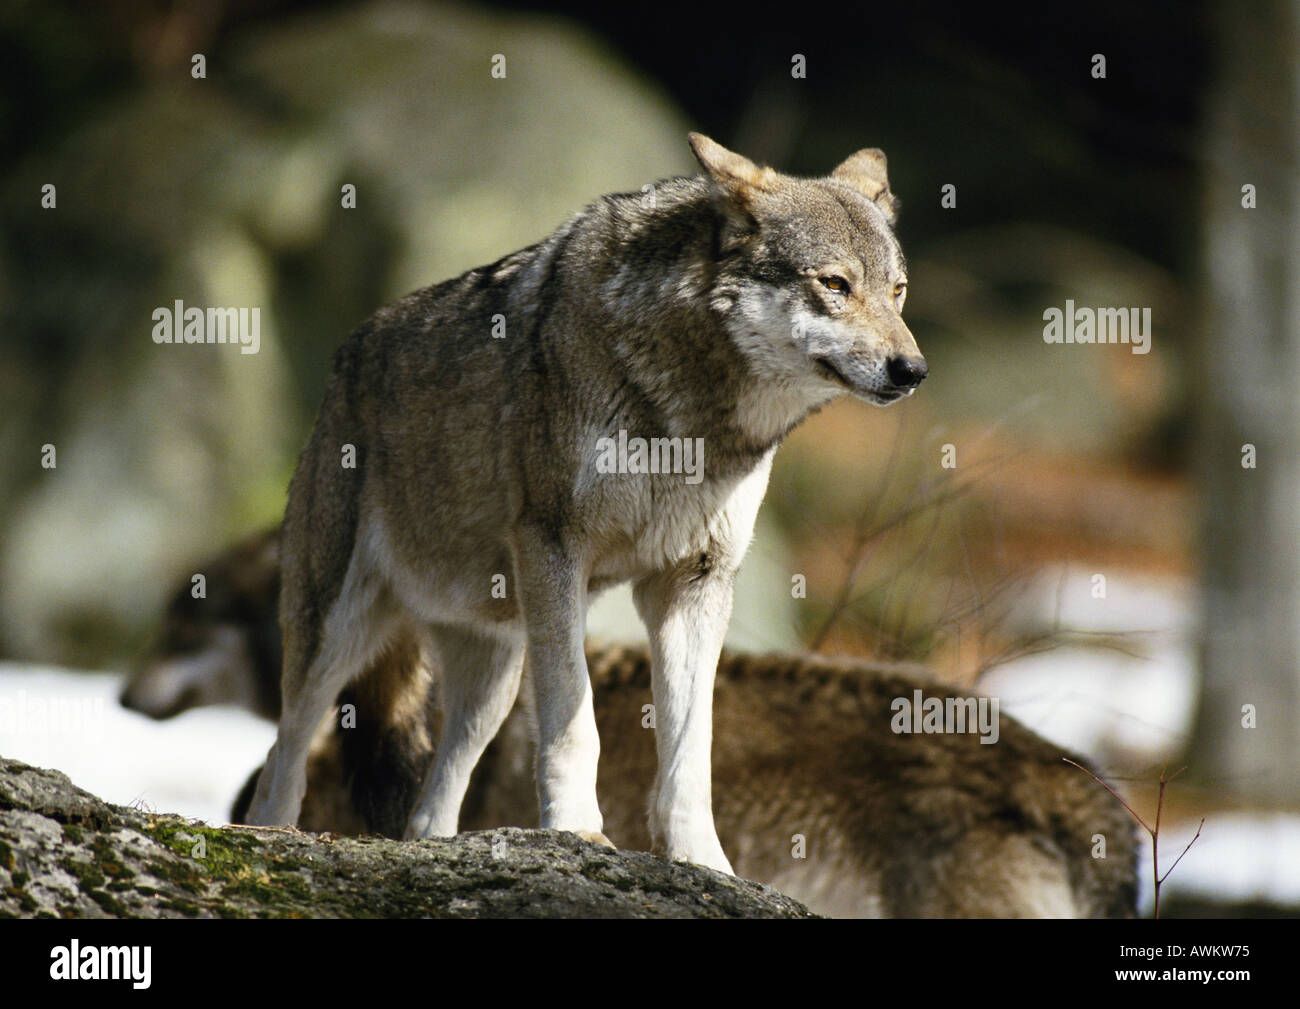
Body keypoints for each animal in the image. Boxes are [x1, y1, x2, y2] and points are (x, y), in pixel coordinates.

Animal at [244, 134, 927, 872]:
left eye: (897, 291)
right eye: (834, 284)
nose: (913, 370)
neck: (694, 418)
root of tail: (346, 354)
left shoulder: (693, 583)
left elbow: (692, 752)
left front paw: (703, 862)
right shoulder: (555, 550)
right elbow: (577, 719)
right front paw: (575, 828)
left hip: (495, 672)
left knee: (432, 799)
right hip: (337, 632)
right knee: (284, 752)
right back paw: (273, 838)